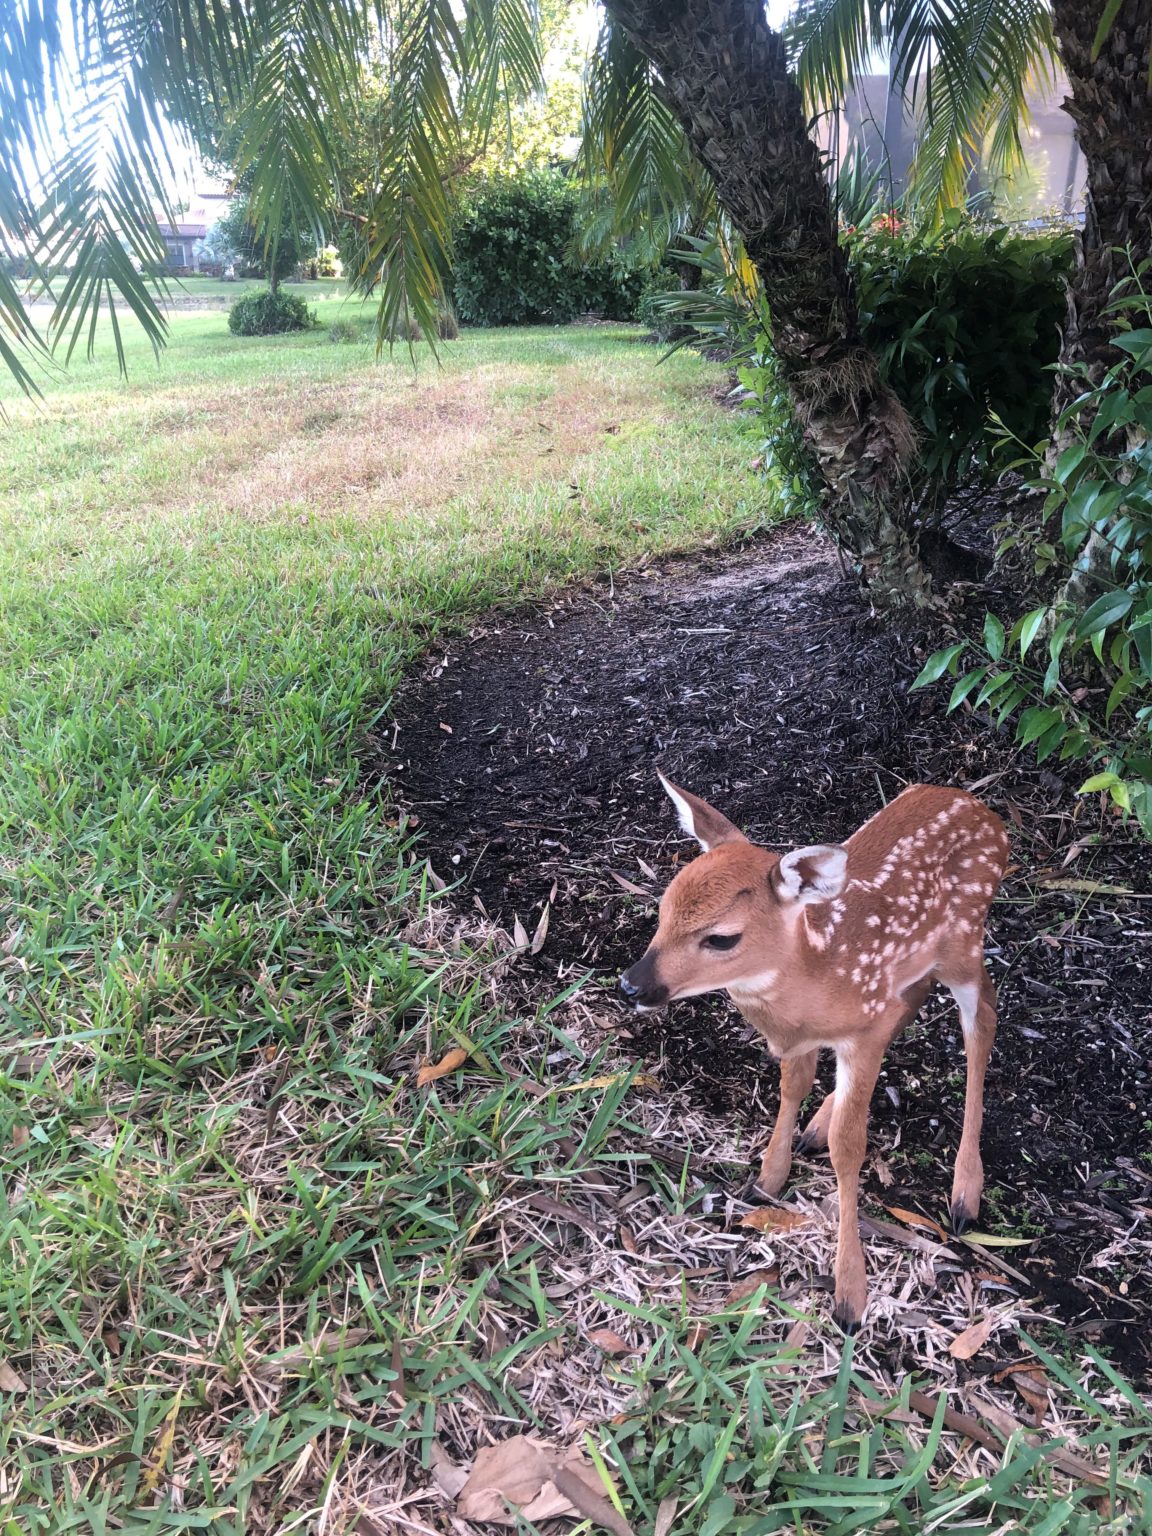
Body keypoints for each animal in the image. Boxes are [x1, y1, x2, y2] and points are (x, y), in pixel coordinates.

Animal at [619, 776, 1009, 1332]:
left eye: (722, 938)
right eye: (663, 910)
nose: (631, 986)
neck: (814, 980)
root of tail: (985, 811)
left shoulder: (862, 1034)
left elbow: (850, 1147)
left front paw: (850, 1294)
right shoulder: (815, 1036)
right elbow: (792, 1087)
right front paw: (768, 1178)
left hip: (962, 944)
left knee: (983, 1018)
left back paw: (964, 1193)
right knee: (914, 996)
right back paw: (818, 1125)